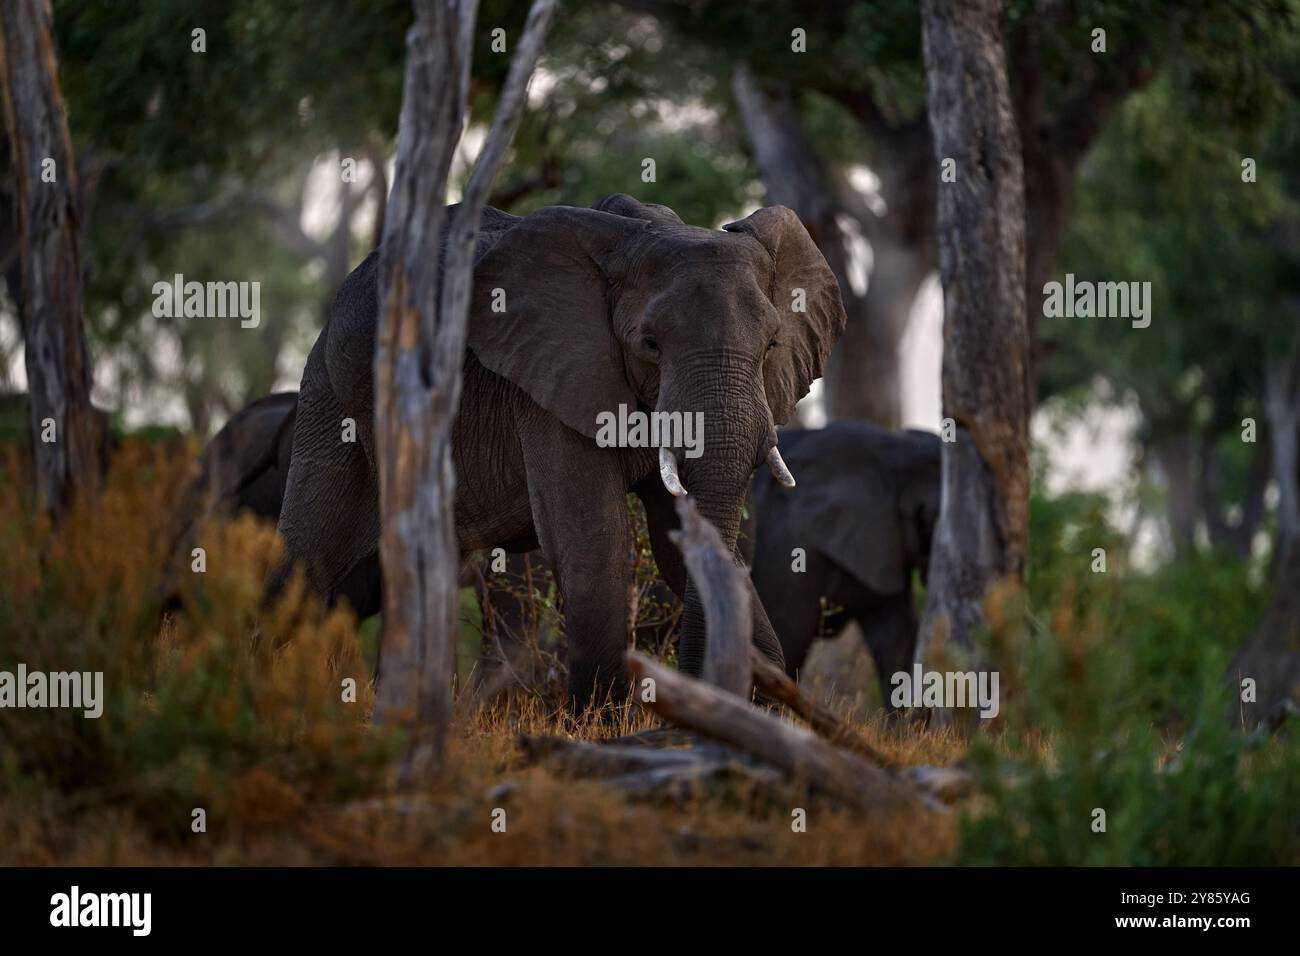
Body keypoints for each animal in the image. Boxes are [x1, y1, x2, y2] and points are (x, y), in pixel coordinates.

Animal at [272, 194, 846, 709]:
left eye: (772, 345)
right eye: (650, 344)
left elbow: (673, 543)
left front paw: (770, 716)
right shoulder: (548, 380)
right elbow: (595, 542)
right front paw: (600, 721)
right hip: (334, 397)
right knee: (306, 559)